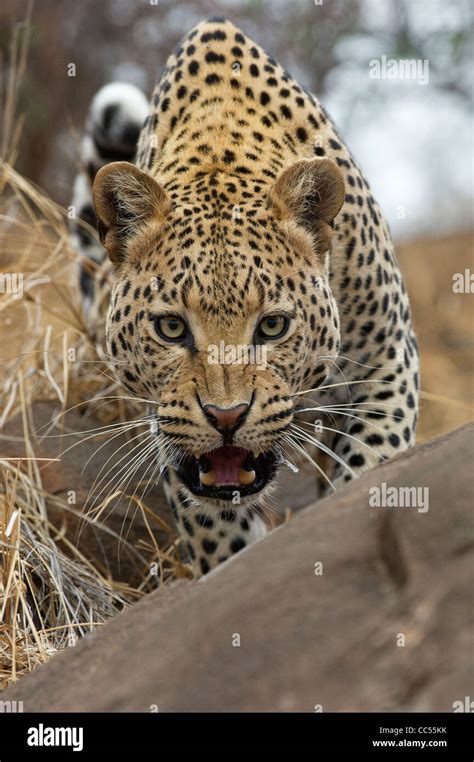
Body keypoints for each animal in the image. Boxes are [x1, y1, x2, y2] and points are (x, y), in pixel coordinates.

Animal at [70, 16, 418, 576]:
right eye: (171, 327)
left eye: (273, 326)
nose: (227, 417)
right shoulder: (170, 429)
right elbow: (220, 539)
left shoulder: (384, 359)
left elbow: (372, 468)